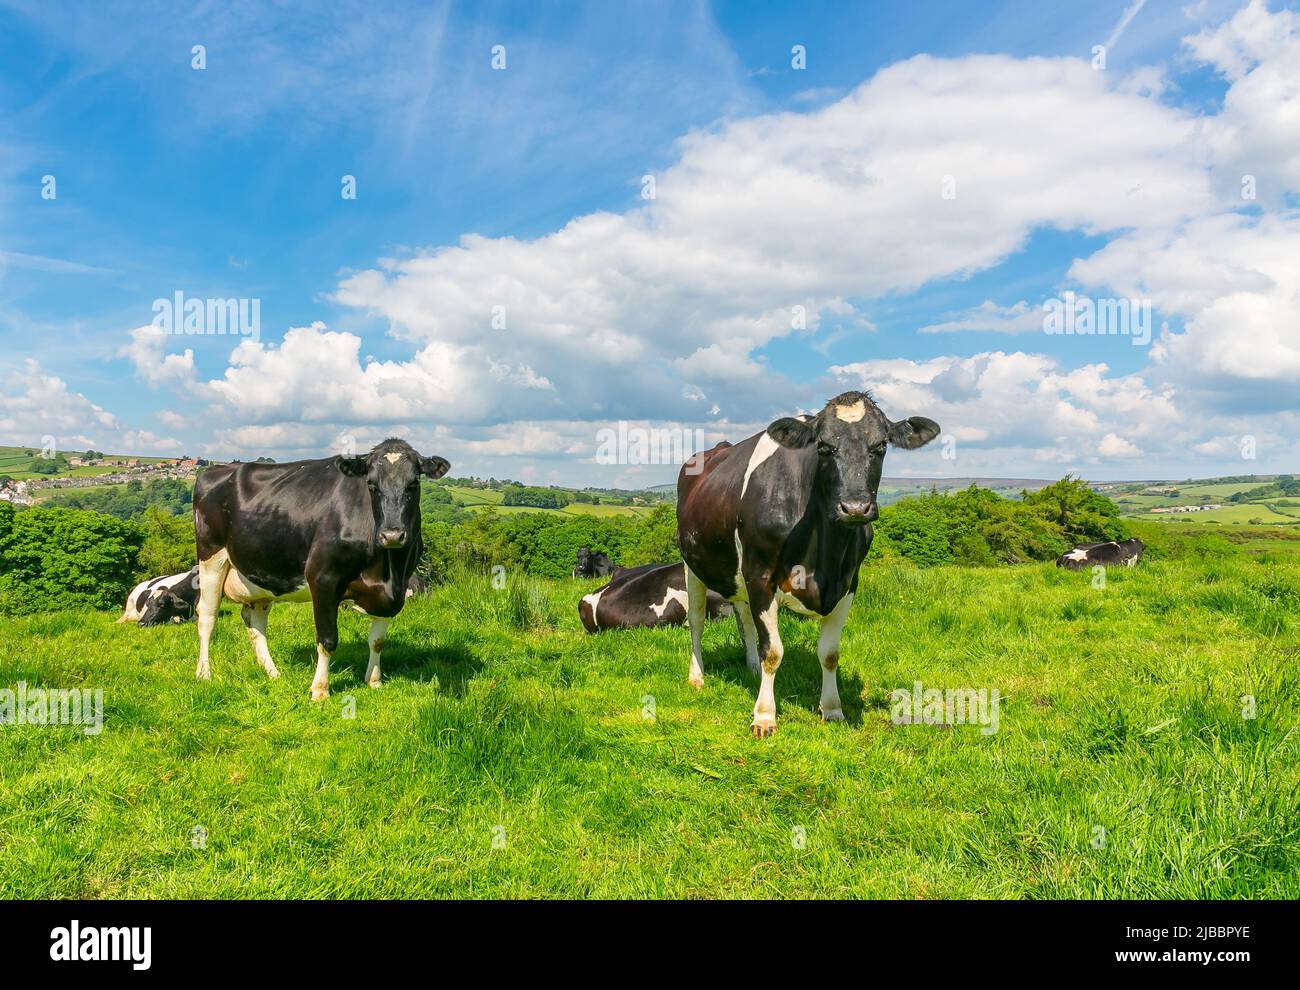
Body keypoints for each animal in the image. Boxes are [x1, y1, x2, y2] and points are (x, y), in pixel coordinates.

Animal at [192, 438, 450, 699]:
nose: (392, 535)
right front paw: (320, 689)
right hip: (211, 556)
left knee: (255, 622)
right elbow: (327, 640)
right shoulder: (323, 579)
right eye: (371, 484)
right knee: (207, 615)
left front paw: (374, 680)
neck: (387, 570)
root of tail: (217, 469)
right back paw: (204, 674)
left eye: (414, 483)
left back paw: (272, 672)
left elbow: (378, 641)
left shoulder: (392, 592)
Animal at [677, 391, 940, 737]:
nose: (855, 507)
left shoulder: (848, 583)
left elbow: (829, 654)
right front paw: (764, 716)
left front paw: (832, 709)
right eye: (824, 447)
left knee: (744, 618)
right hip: (691, 564)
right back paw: (697, 676)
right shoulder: (760, 575)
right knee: (696, 621)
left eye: (881, 446)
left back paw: (750, 669)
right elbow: (773, 651)